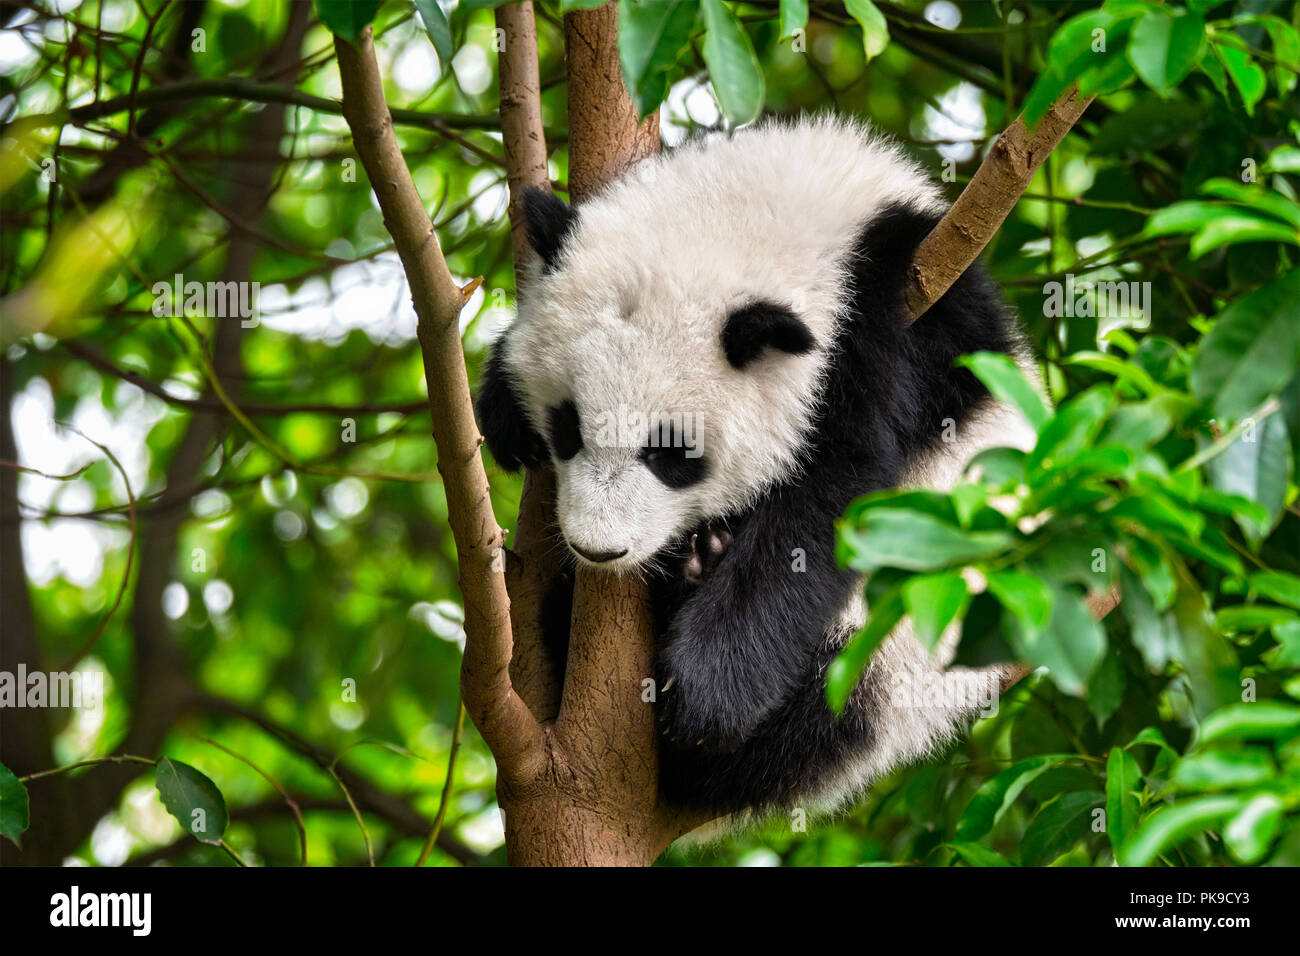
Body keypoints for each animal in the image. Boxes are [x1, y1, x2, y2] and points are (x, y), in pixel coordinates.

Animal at [476, 116, 1039, 819]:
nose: (599, 550)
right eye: (567, 430)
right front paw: (502, 408)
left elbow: (836, 496)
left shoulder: (895, 319)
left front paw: (706, 691)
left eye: (673, 453)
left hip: (904, 645)